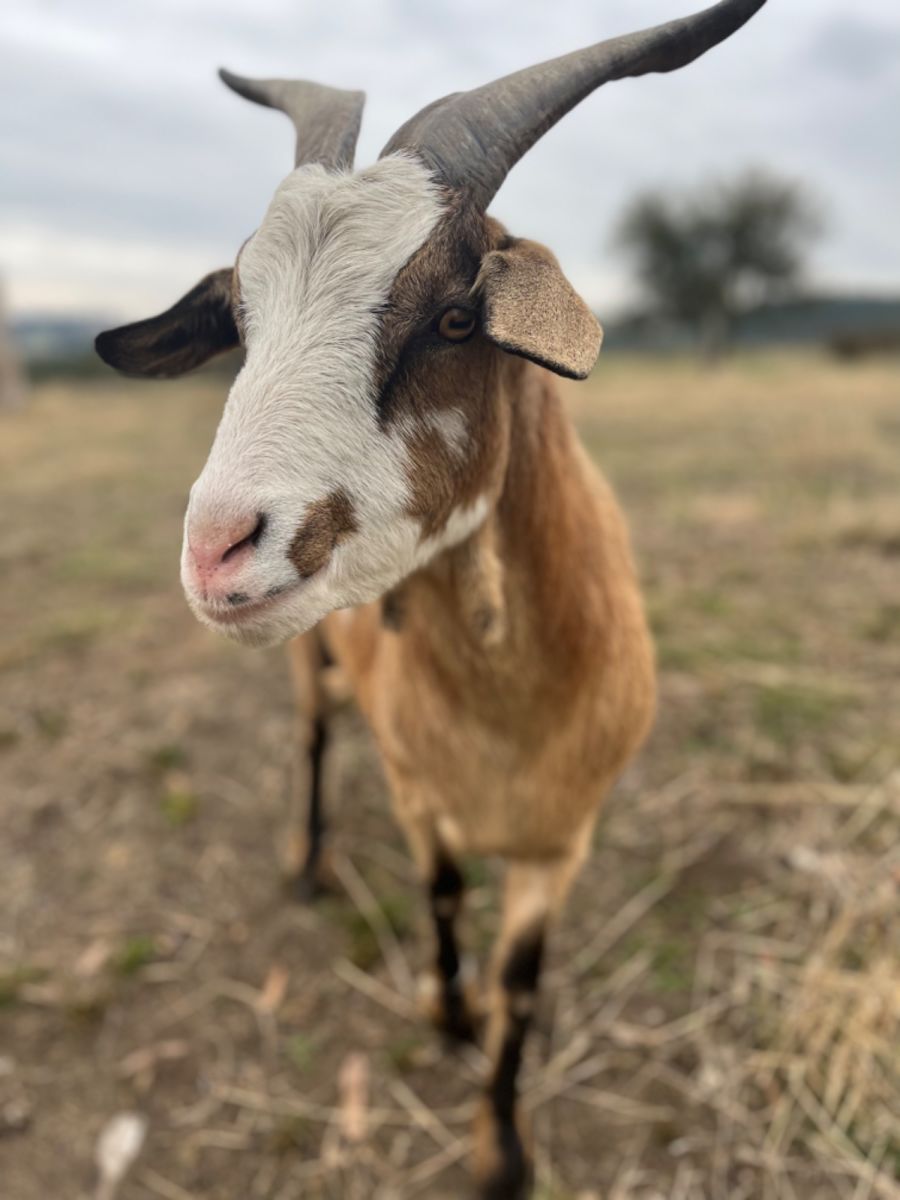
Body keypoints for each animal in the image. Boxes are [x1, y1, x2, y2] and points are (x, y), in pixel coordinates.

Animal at [96, 2, 768, 1193]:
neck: (510, 716)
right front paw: (444, 1014)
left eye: (457, 319)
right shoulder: (421, 795)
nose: (217, 550)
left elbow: (521, 985)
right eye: (240, 320)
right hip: (311, 665)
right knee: (315, 738)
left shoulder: (562, 843)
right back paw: (308, 864)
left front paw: (502, 1145)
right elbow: (447, 900)